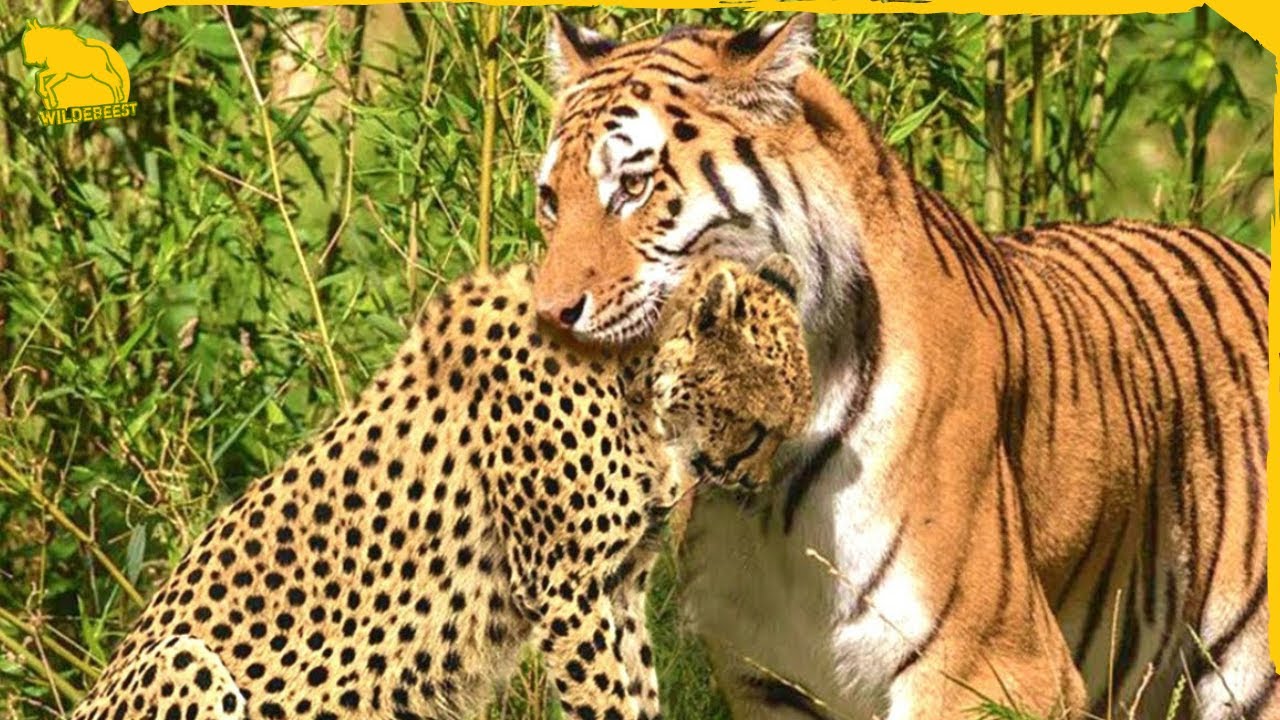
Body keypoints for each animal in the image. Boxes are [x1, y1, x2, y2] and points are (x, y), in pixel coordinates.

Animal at [529, 11, 1272, 720]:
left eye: (633, 186)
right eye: (550, 200)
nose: (548, 313)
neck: (768, 487)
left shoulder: (988, 663)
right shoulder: (765, 677)